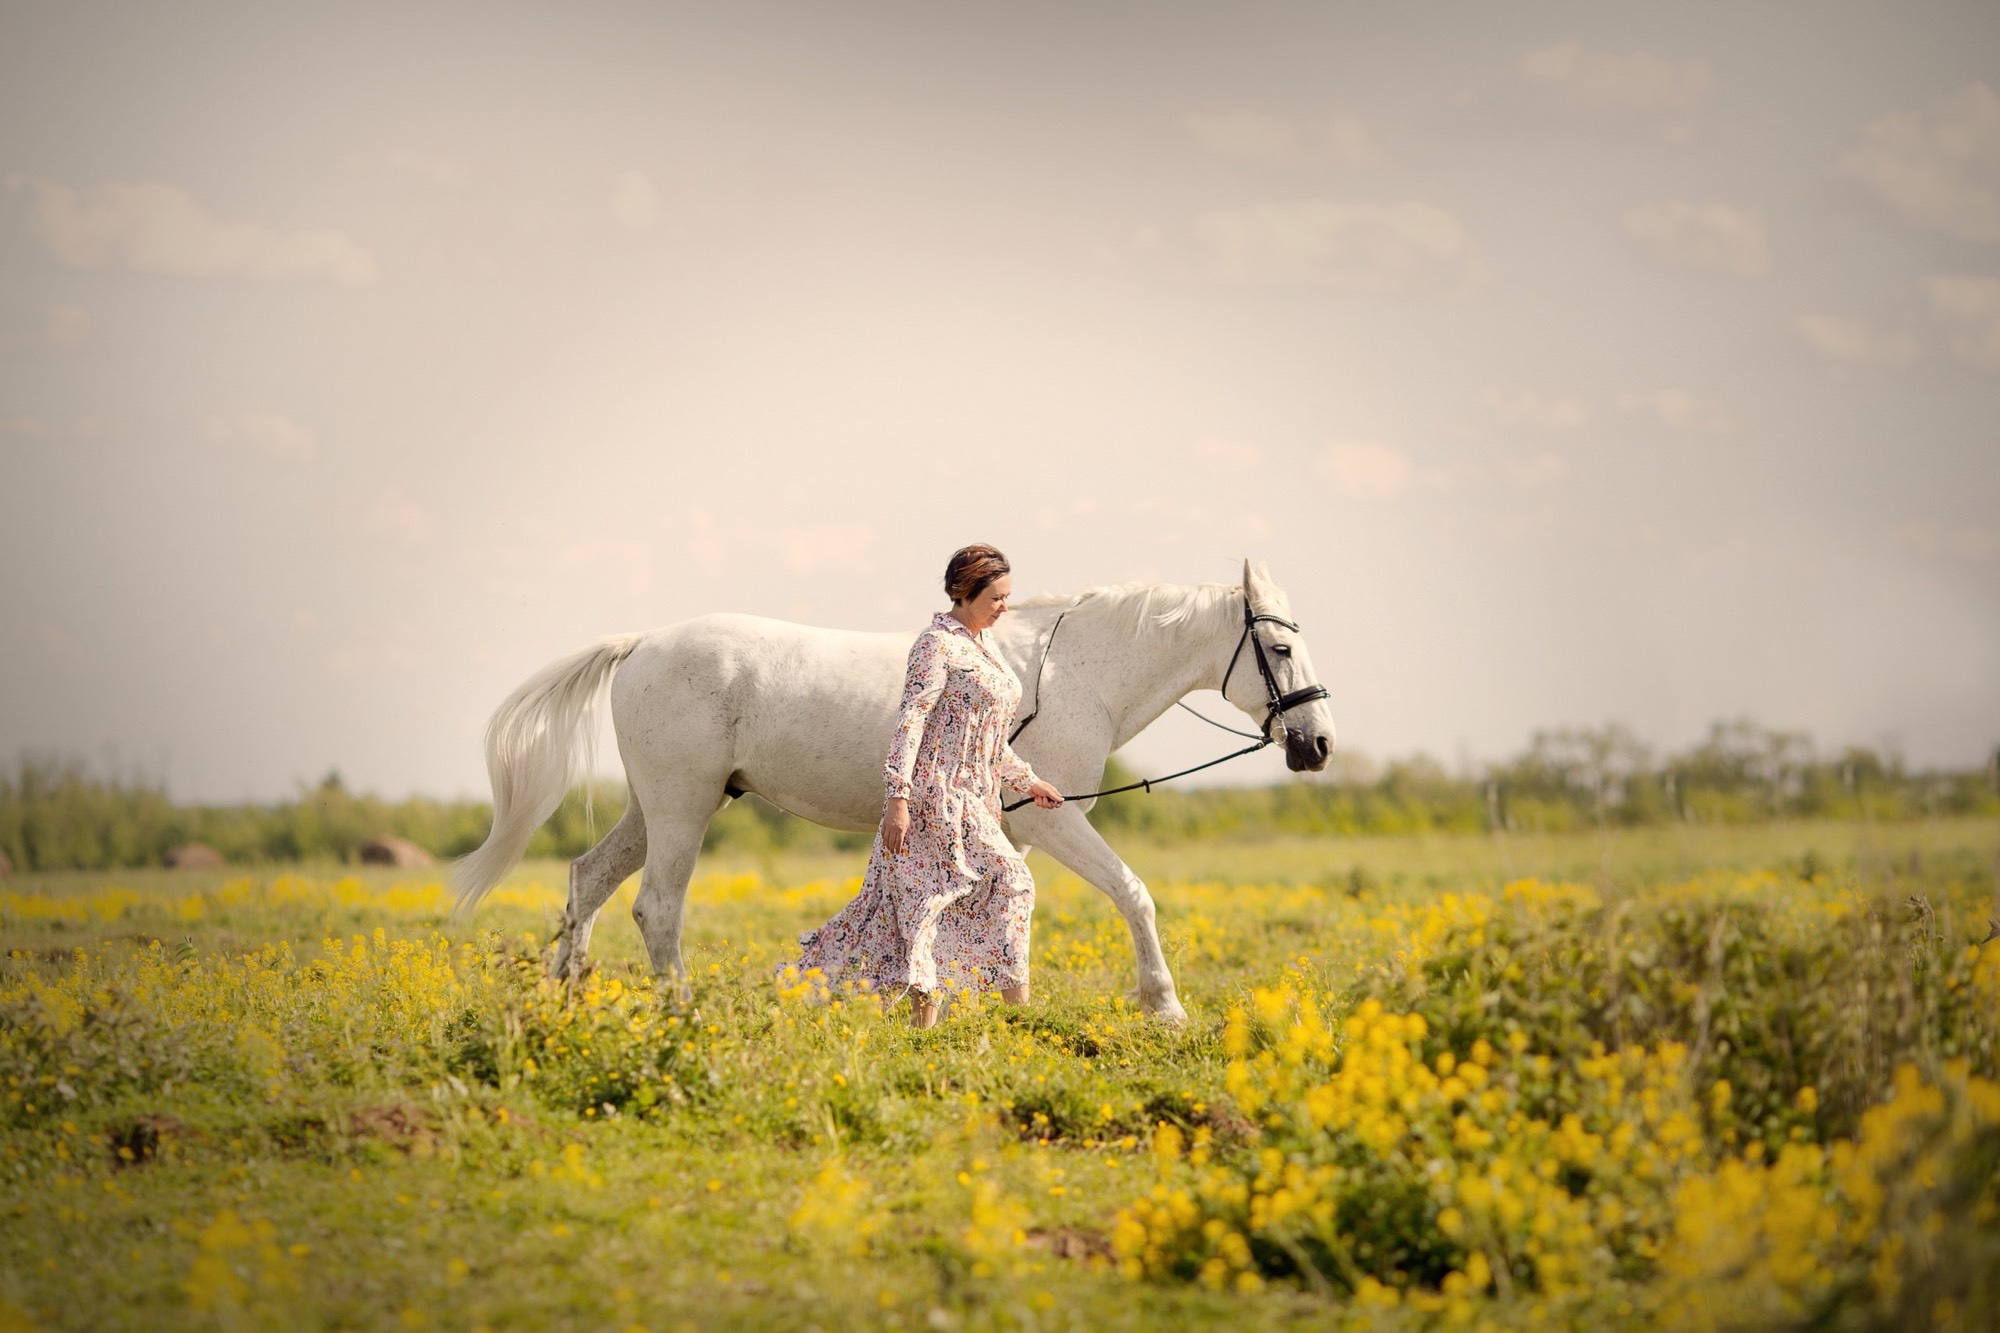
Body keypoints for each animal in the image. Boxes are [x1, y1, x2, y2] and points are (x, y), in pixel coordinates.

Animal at [446, 552, 1336, 1016]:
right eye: (1281, 649)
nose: (1318, 743)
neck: (1073, 671)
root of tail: (641, 644)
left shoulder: (1015, 830)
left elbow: (986, 918)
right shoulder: (1054, 820)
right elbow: (1134, 893)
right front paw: (1165, 1005)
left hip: (656, 806)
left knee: (587, 880)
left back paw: (567, 997)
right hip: (680, 808)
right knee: (655, 906)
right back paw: (680, 1010)